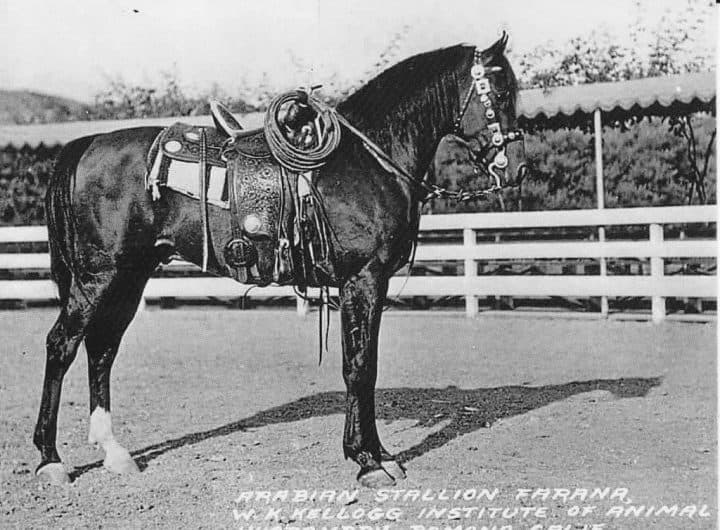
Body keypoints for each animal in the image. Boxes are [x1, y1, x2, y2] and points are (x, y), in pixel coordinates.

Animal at [34, 34, 526, 488]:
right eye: (501, 93)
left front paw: (379, 454)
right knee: (61, 345)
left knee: (102, 349)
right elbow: (359, 367)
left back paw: (114, 452)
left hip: (129, 277)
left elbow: (364, 363)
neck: (367, 160)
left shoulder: (369, 284)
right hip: (98, 278)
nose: (518, 167)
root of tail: (87, 144)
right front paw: (367, 461)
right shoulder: (362, 280)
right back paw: (50, 459)